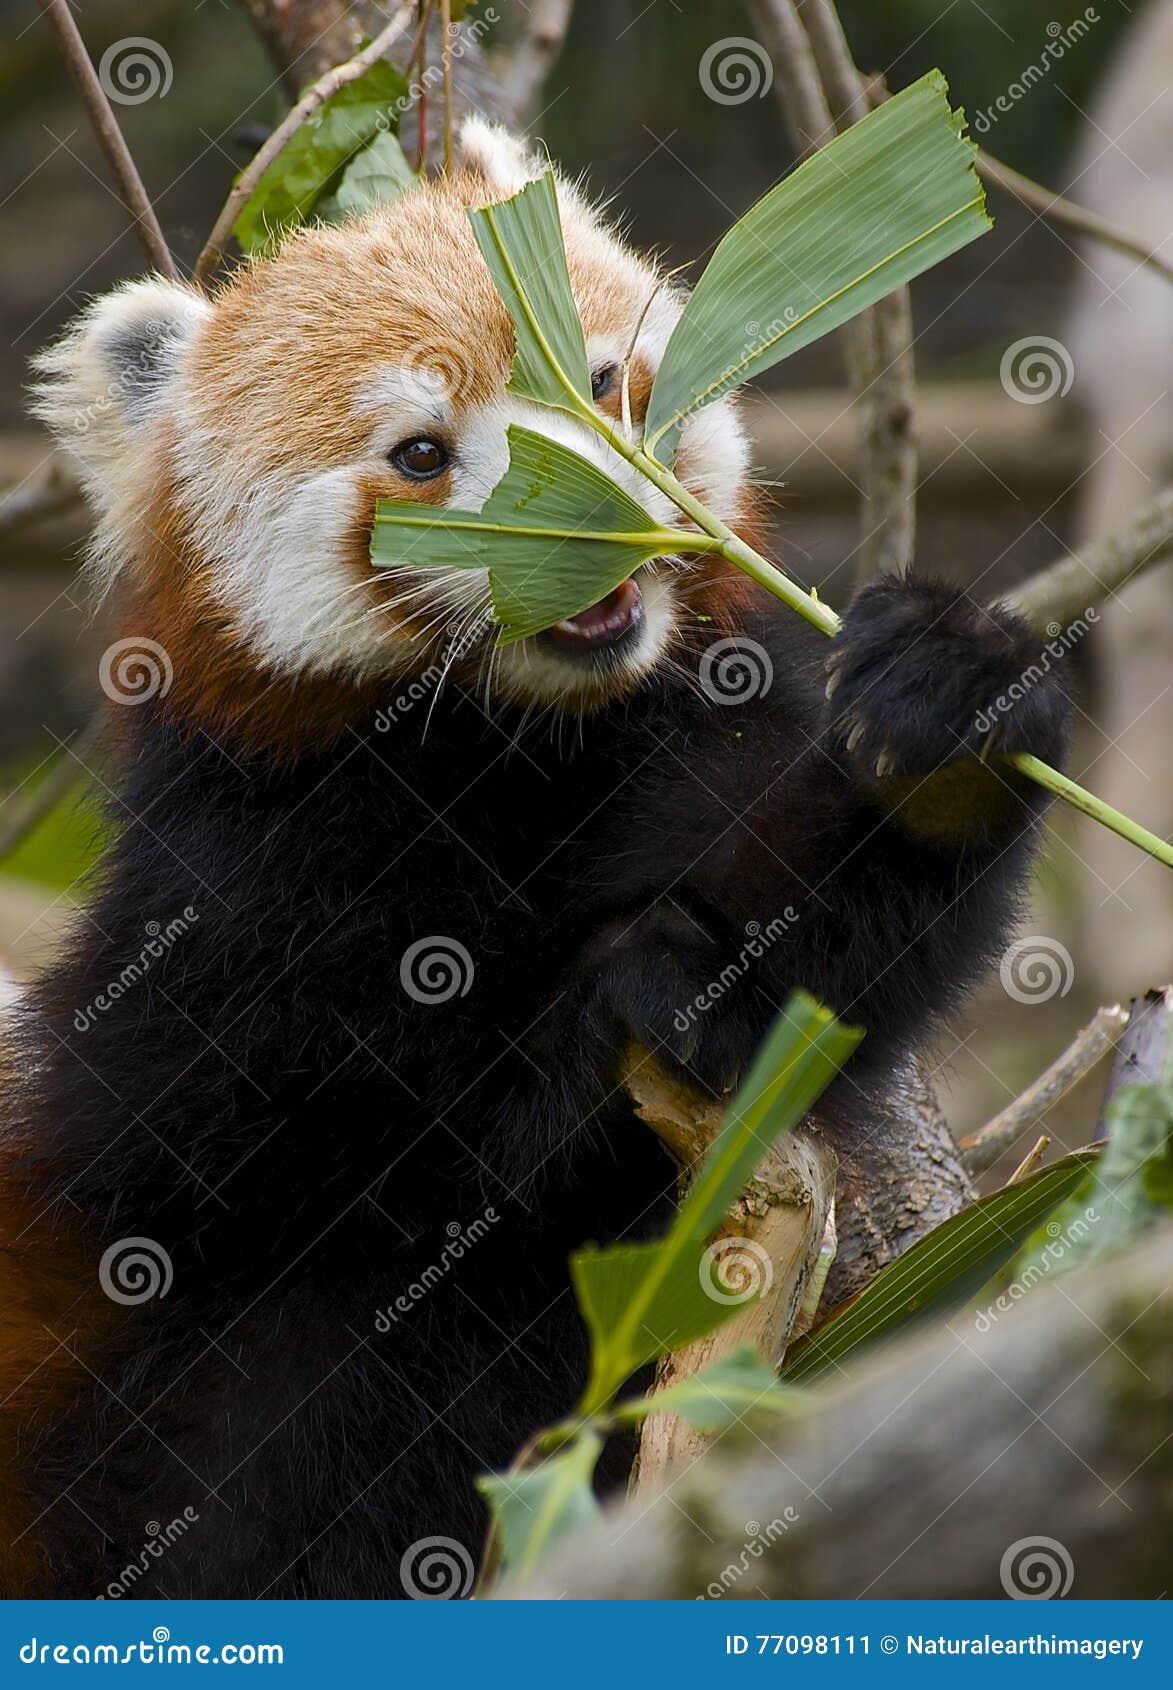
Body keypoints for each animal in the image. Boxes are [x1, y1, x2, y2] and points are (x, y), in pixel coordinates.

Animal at [1, 121, 1068, 1598]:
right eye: (422, 453)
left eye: (606, 380)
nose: (605, 514)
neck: (517, 747)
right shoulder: (229, 871)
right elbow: (304, 1137)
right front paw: (596, 1016)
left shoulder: (692, 719)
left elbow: (819, 950)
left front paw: (940, 730)